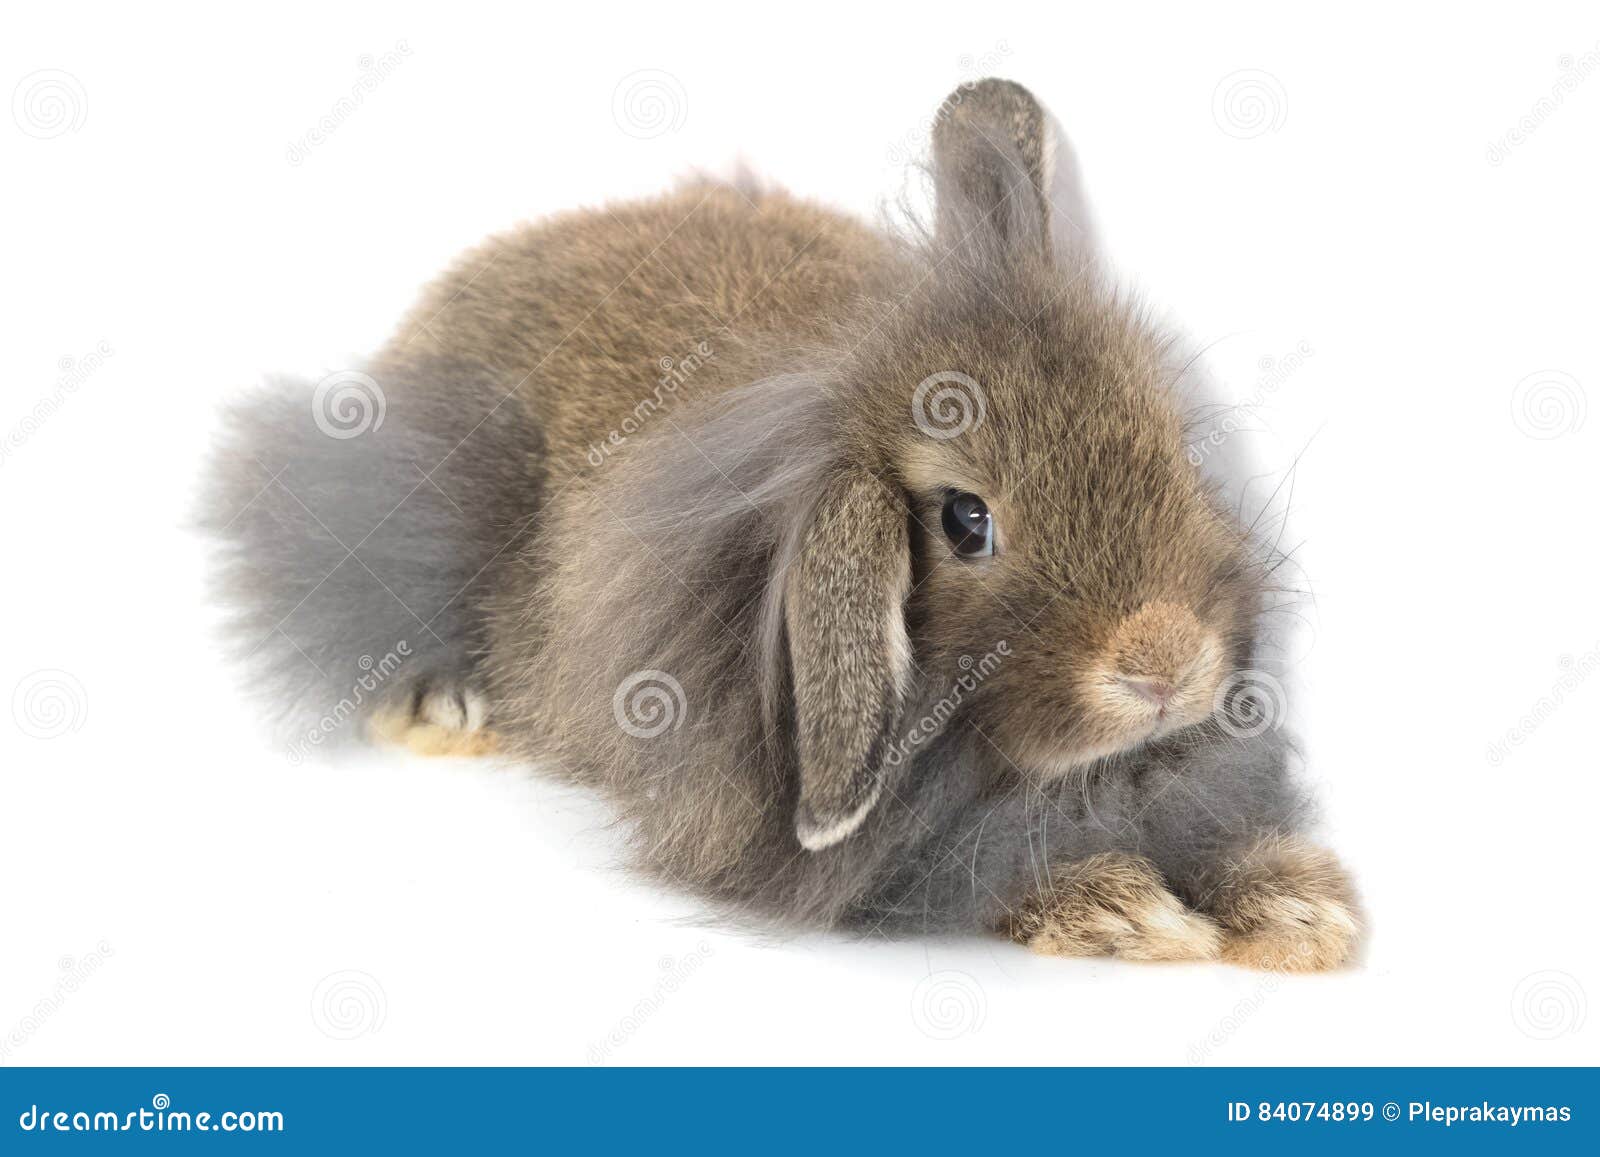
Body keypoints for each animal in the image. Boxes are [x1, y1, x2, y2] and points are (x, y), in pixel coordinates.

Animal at [202, 78, 1360, 970]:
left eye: (1174, 452)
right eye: (966, 519)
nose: (1163, 661)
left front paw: (1302, 907)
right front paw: (1128, 910)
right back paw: (445, 705)